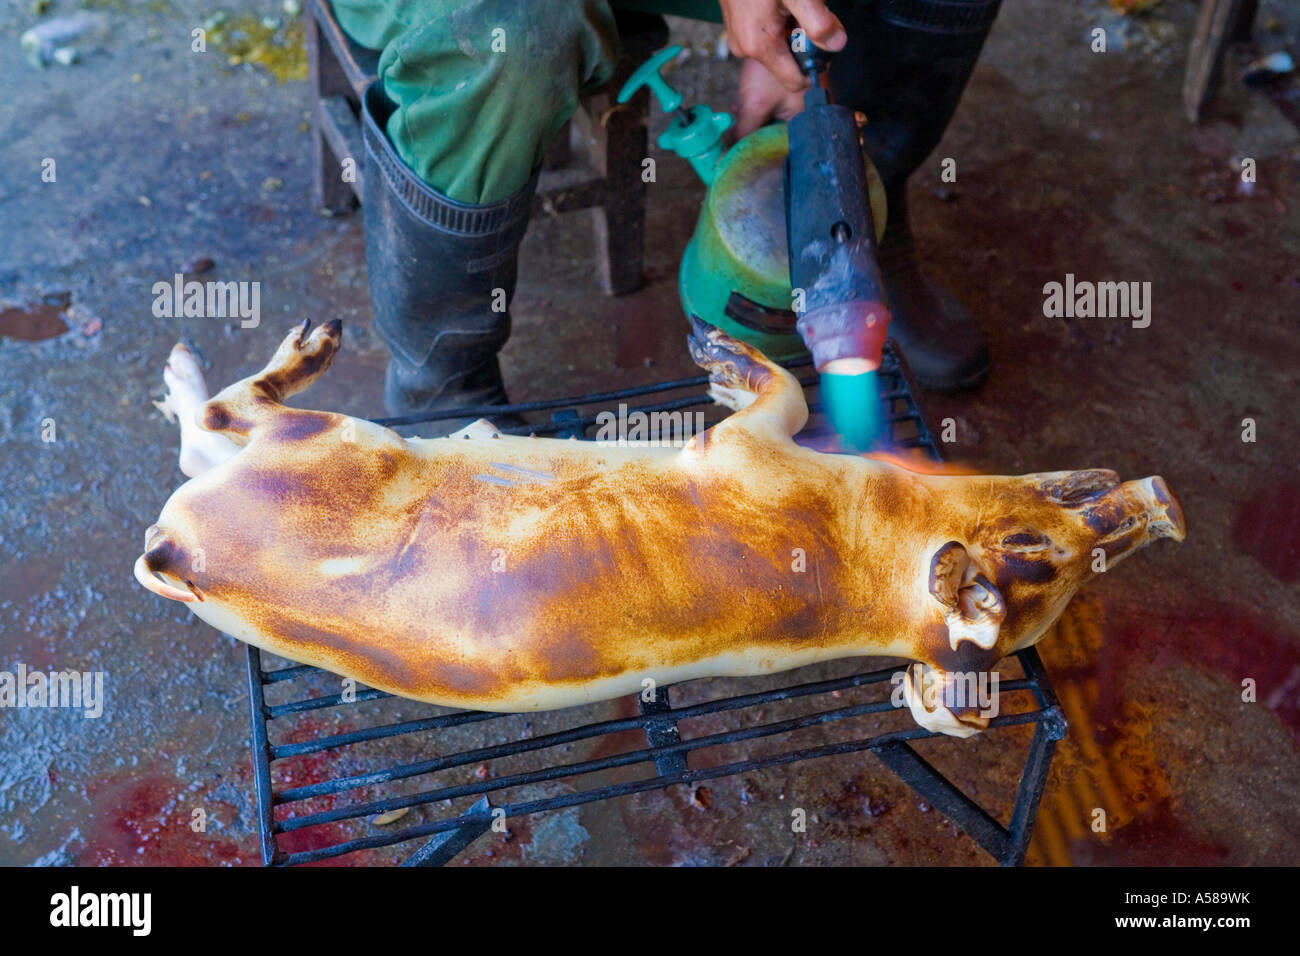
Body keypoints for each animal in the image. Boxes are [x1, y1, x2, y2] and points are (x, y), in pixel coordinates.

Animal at [135, 319, 1185, 737]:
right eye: (1041, 552)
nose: (1162, 500)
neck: (866, 562)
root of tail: (179, 553)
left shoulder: (745, 449)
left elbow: (783, 388)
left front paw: (715, 352)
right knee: (206, 428)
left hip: (323, 442)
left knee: (223, 416)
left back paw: (271, 348)